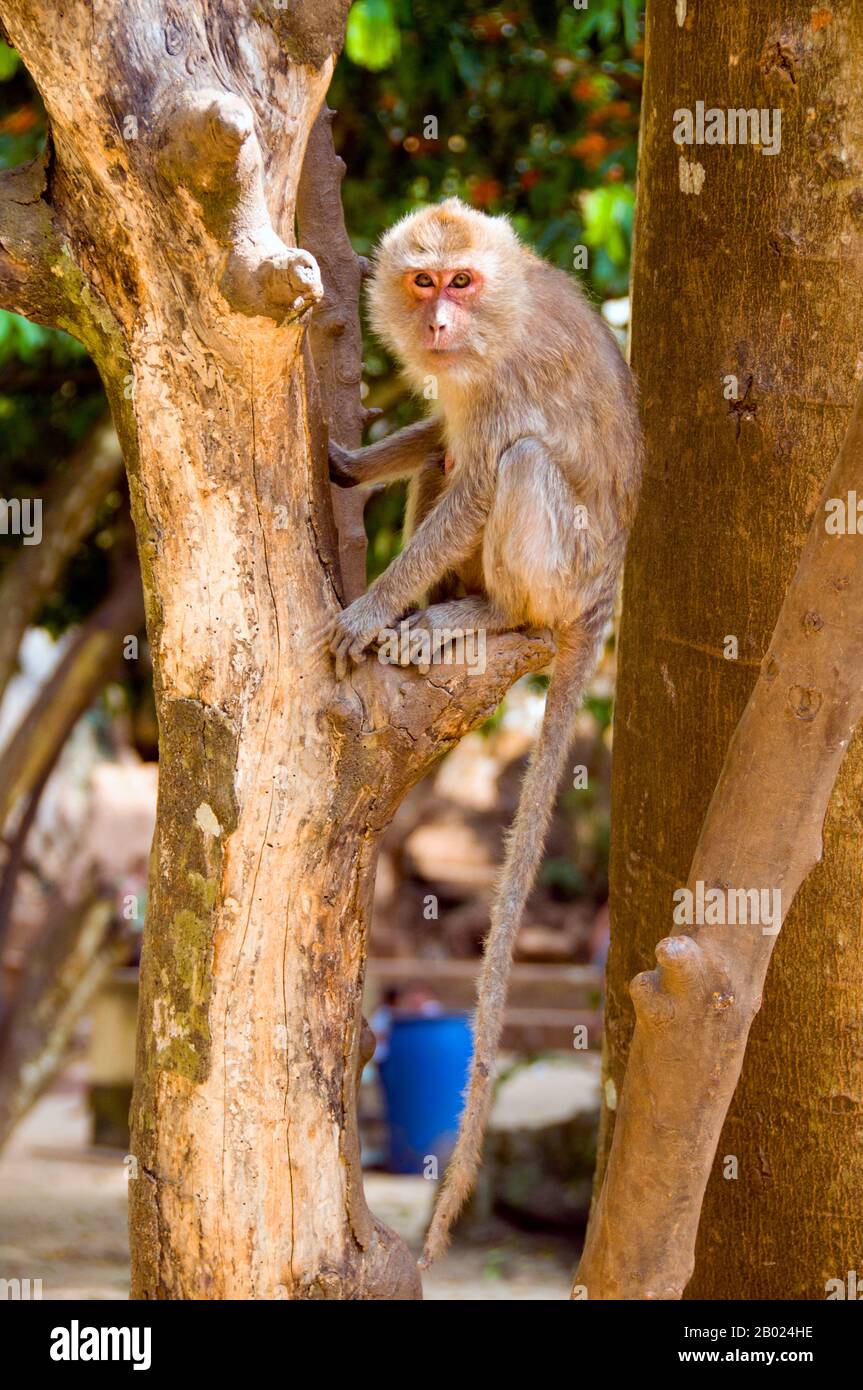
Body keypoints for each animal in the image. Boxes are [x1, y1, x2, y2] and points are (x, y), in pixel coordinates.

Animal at [323, 198, 642, 1266]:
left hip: (567, 571)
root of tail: (601, 600)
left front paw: (372, 604)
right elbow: (440, 441)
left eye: (461, 283)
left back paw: (487, 616)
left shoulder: (504, 372)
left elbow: (481, 481)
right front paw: (356, 462)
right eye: (424, 282)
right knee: (456, 453)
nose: (439, 322)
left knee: (515, 464)